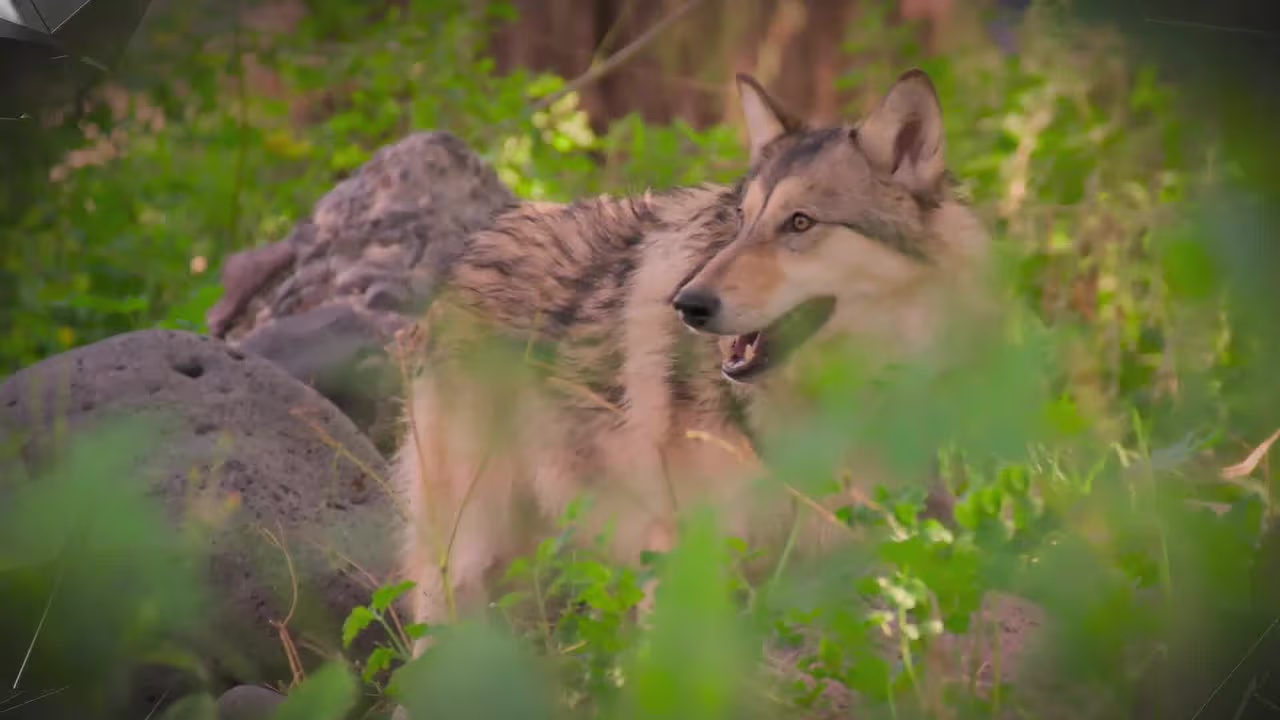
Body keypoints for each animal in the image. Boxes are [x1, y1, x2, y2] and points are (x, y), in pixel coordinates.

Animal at [391, 69, 991, 649]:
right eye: (742, 220)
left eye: (800, 222)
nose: (689, 304)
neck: (830, 405)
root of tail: (471, 249)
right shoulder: (685, 567)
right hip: (464, 561)